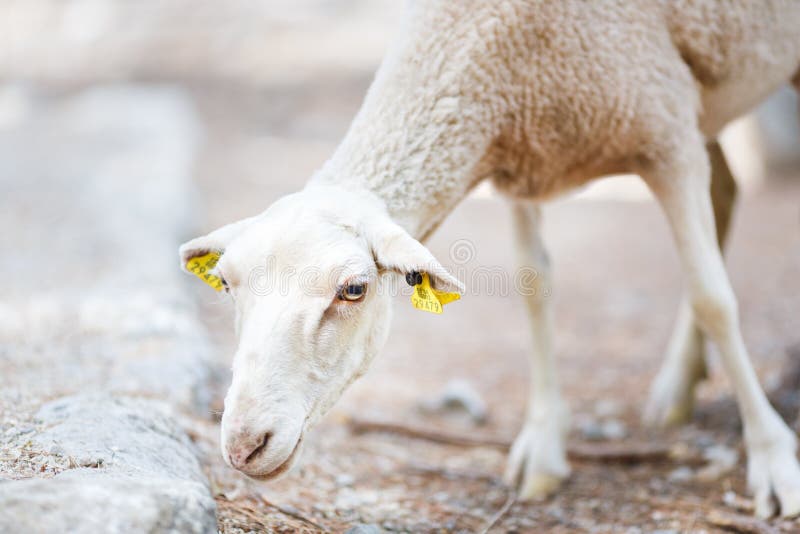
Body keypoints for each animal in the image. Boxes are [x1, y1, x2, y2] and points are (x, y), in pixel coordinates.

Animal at [180, 0, 800, 518]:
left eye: (353, 289)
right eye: (227, 284)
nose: (243, 445)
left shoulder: (666, 131)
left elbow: (714, 298)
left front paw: (773, 460)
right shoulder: (527, 159)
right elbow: (533, 286)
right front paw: (543, 446)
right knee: (725, 189)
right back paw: (678, 385)